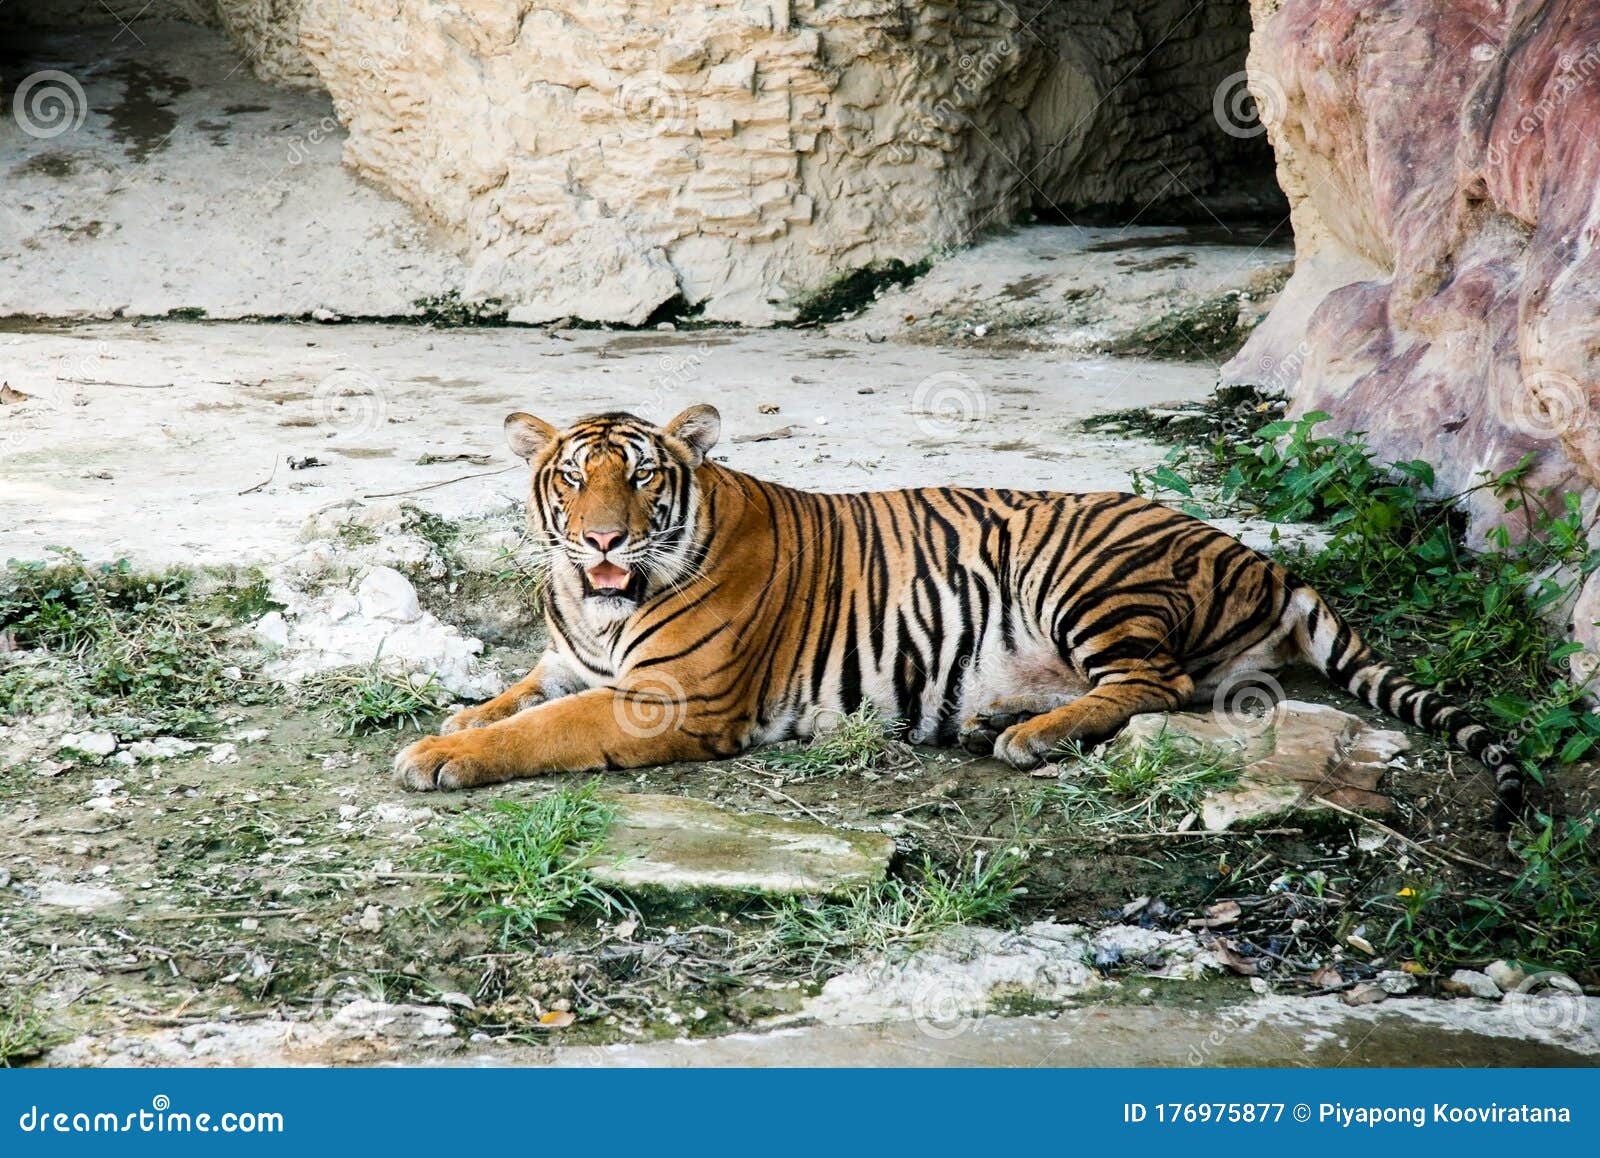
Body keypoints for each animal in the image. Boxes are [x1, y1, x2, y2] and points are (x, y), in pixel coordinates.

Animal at [393, 404, 1528, 827]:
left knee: (1154, 682)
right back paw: (999, 720)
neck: (598, 612)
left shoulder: (661, 698)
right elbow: (514, 696)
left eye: (639, 480)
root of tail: (1257, 553)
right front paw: (456, 722)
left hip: (1085, 574)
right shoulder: (574, 664)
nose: (599, 542)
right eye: (571, 480)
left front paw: (436, 757)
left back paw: (1027, 738)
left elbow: (542, 729)